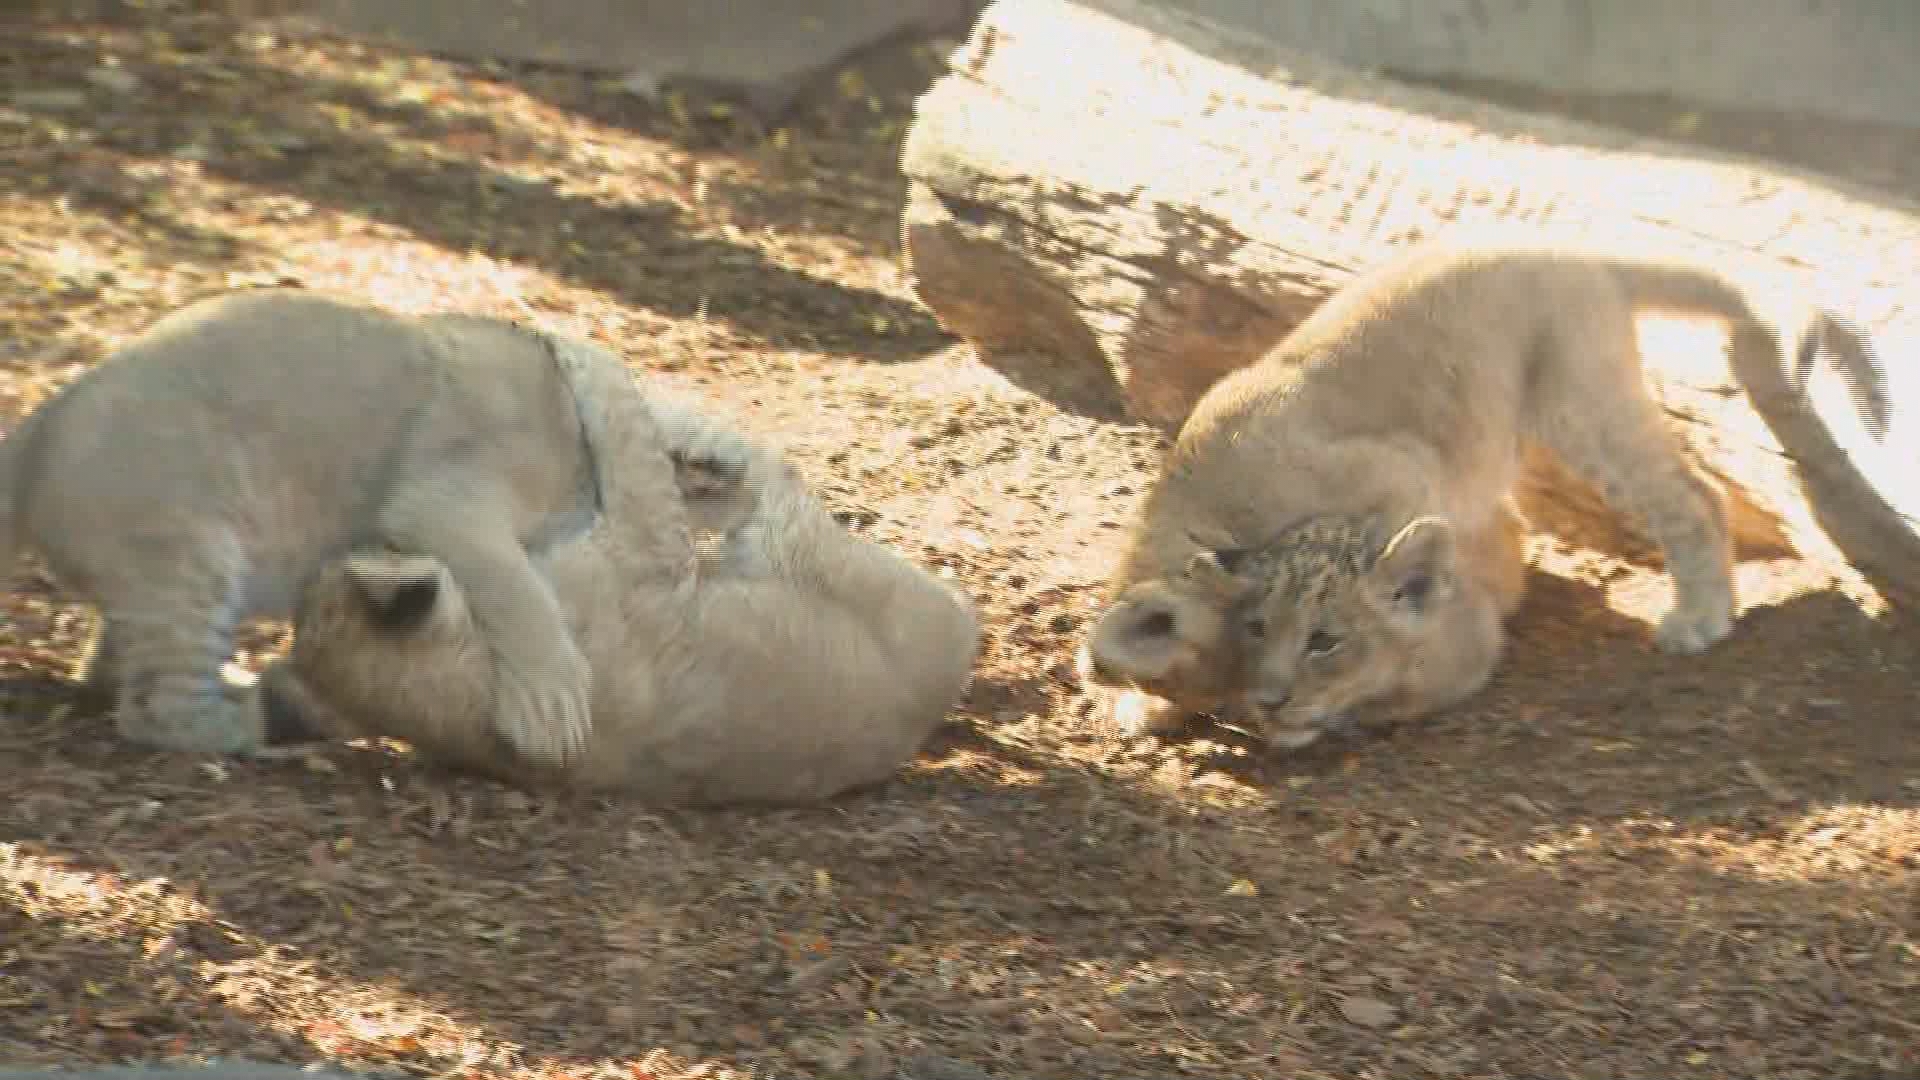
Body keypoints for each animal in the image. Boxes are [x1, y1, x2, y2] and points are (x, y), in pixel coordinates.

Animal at [0, 288, 656, 762]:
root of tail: (38, 426)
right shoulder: (446, 498)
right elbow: (520, 590)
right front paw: (554, 705)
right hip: (189, 548)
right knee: (155, 706)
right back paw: (258, 723)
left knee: (112, 671)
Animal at [1080, 243, 1890, 751]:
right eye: (1247, 644)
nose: (1267, 709)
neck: (1193, 507)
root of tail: (1572, 249)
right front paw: (1140, 705)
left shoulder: (1401, 471)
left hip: (1579, 400)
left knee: (1694, 496)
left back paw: (1699, 618)